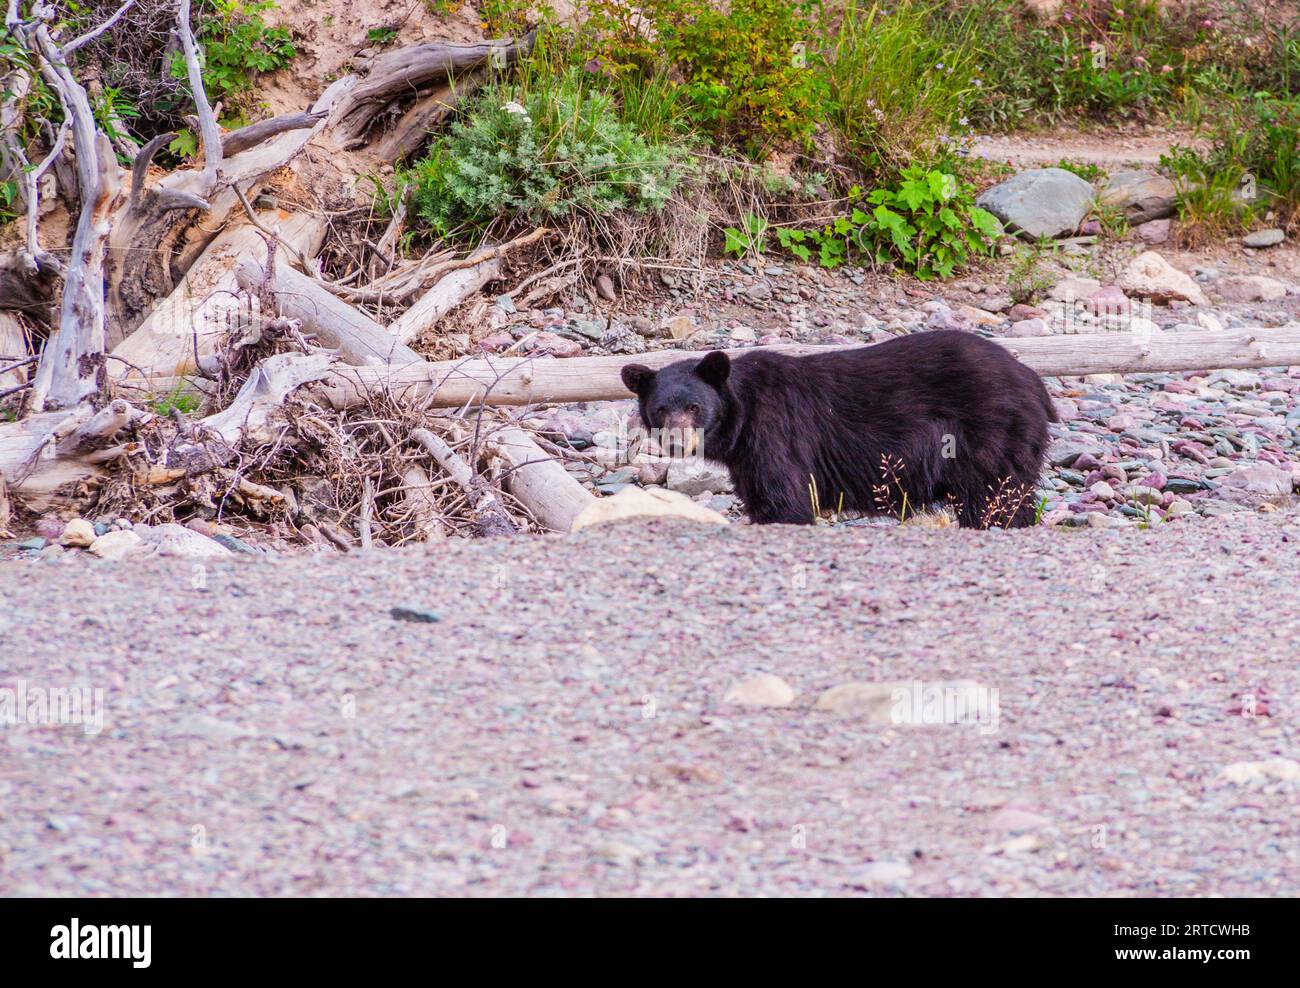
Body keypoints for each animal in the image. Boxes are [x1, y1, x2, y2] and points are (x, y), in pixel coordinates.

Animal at [621, 330, 1057, 528]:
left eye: (694, 406)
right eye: (661, 409)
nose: (677, 442)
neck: (741, 417)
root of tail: (1034, 380)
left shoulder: (776, 434)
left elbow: (783, 499)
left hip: (992, 434)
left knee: (995, 497)